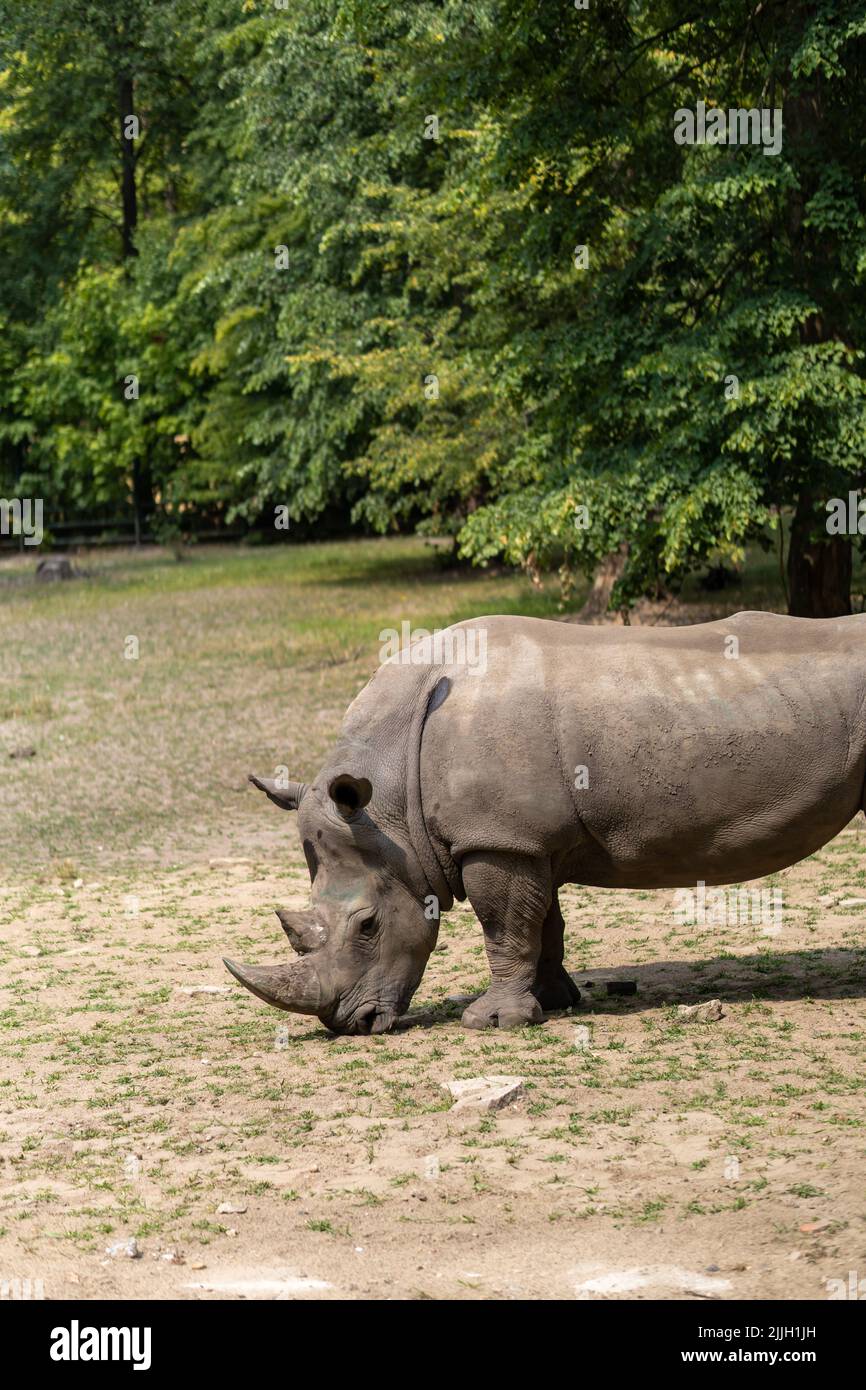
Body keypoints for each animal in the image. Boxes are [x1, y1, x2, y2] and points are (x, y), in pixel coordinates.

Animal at [225, 610, 866, 1033]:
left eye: (367, 926)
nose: (348, 1023)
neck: (390, 806)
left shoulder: (498, 840)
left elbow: (503, 926)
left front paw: (493, 1022)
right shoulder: (523, 837)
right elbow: (542, 922)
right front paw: (555, 1000)